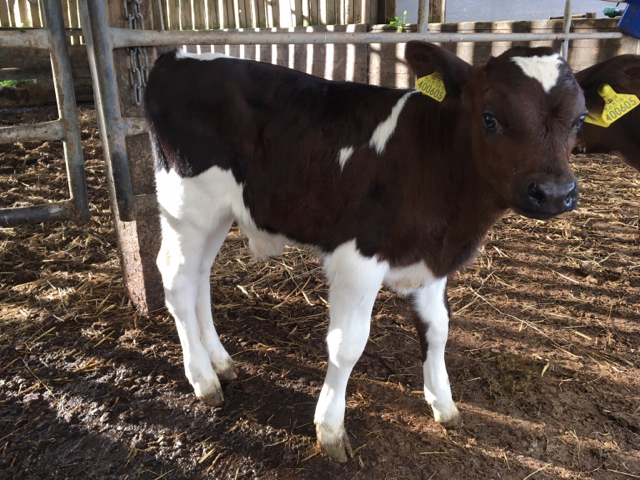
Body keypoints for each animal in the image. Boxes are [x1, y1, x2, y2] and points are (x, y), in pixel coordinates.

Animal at [144, 41, 586, 462]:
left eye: (580, 119)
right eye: (490, 117)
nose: (554, 193)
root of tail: (175, 57)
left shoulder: (432, 260)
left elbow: (438, 328)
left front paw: (443, 404)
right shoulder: (357, 258)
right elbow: (348, 344)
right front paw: (330, 428)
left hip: (217, 213)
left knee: (200, 274)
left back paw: (219, 360)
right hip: (186, 204)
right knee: (177, 279)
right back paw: (203, 378)